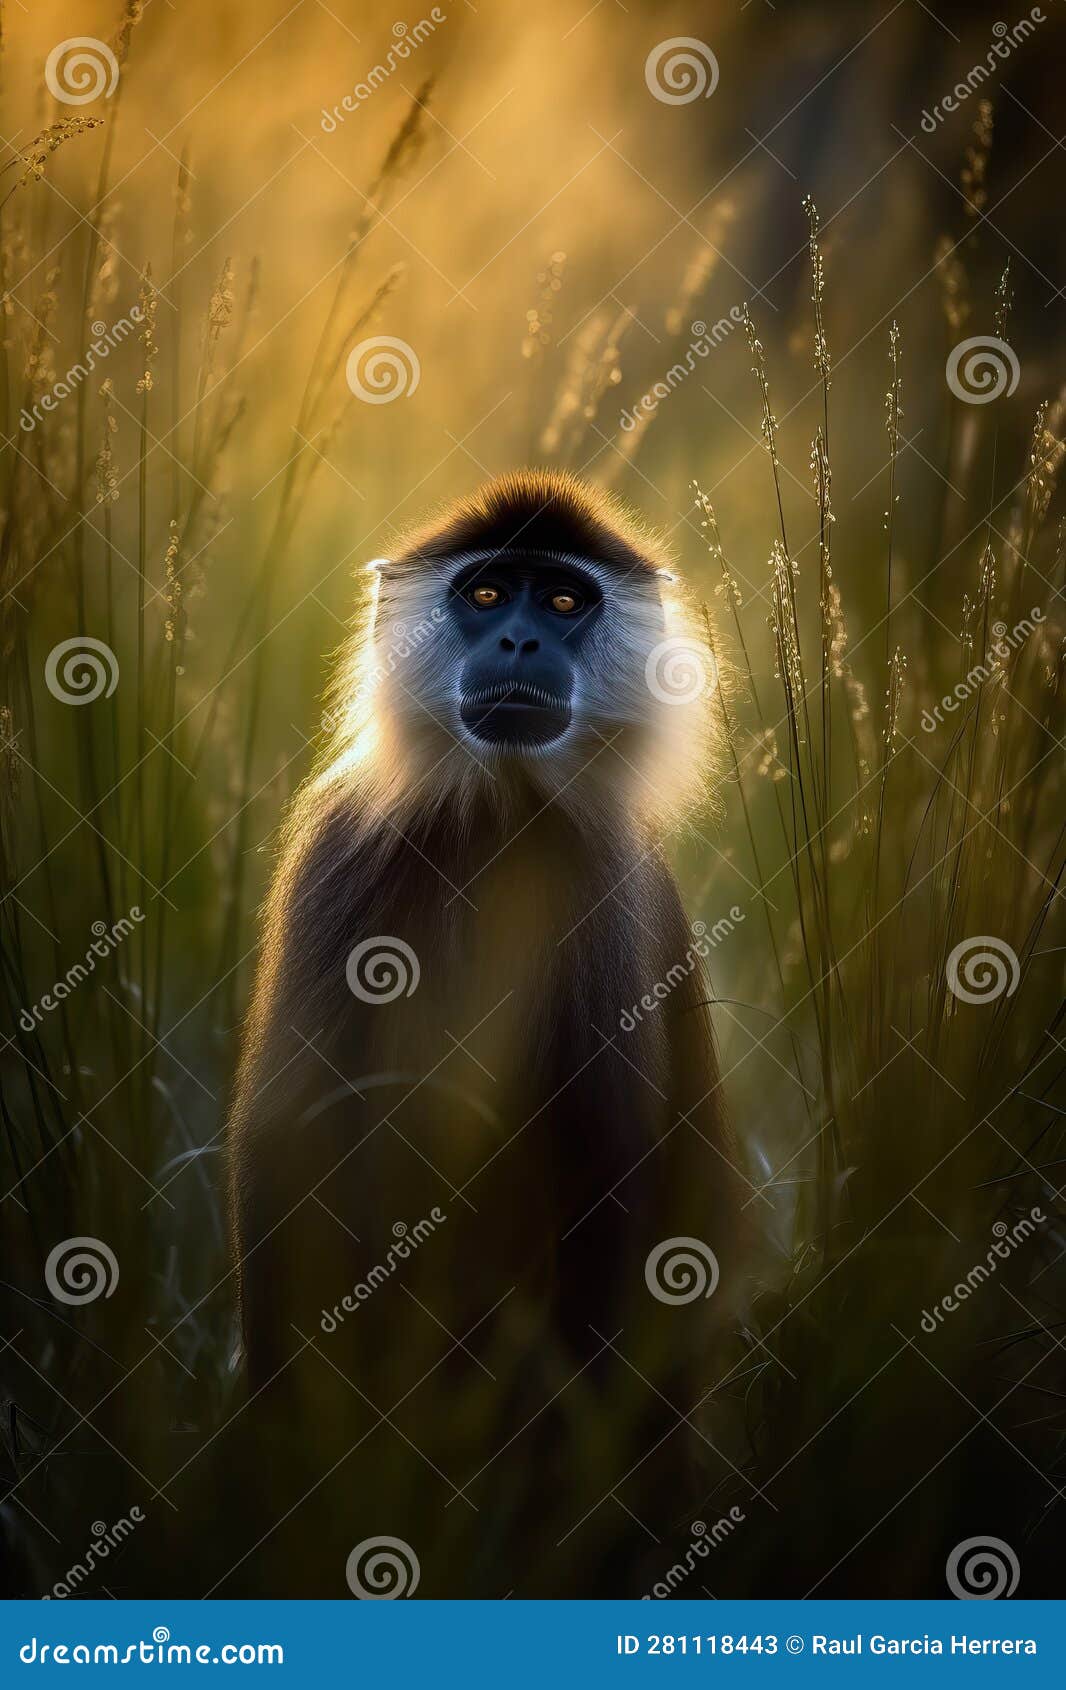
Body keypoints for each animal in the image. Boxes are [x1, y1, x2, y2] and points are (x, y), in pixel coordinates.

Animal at [225, 470, 745, 1592]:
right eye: (488, 593)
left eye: (563, 601)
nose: (515, 640)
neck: (502, 811)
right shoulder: (341, 847)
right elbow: (291, 1147)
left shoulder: (607, 885)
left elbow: (612, 1174)